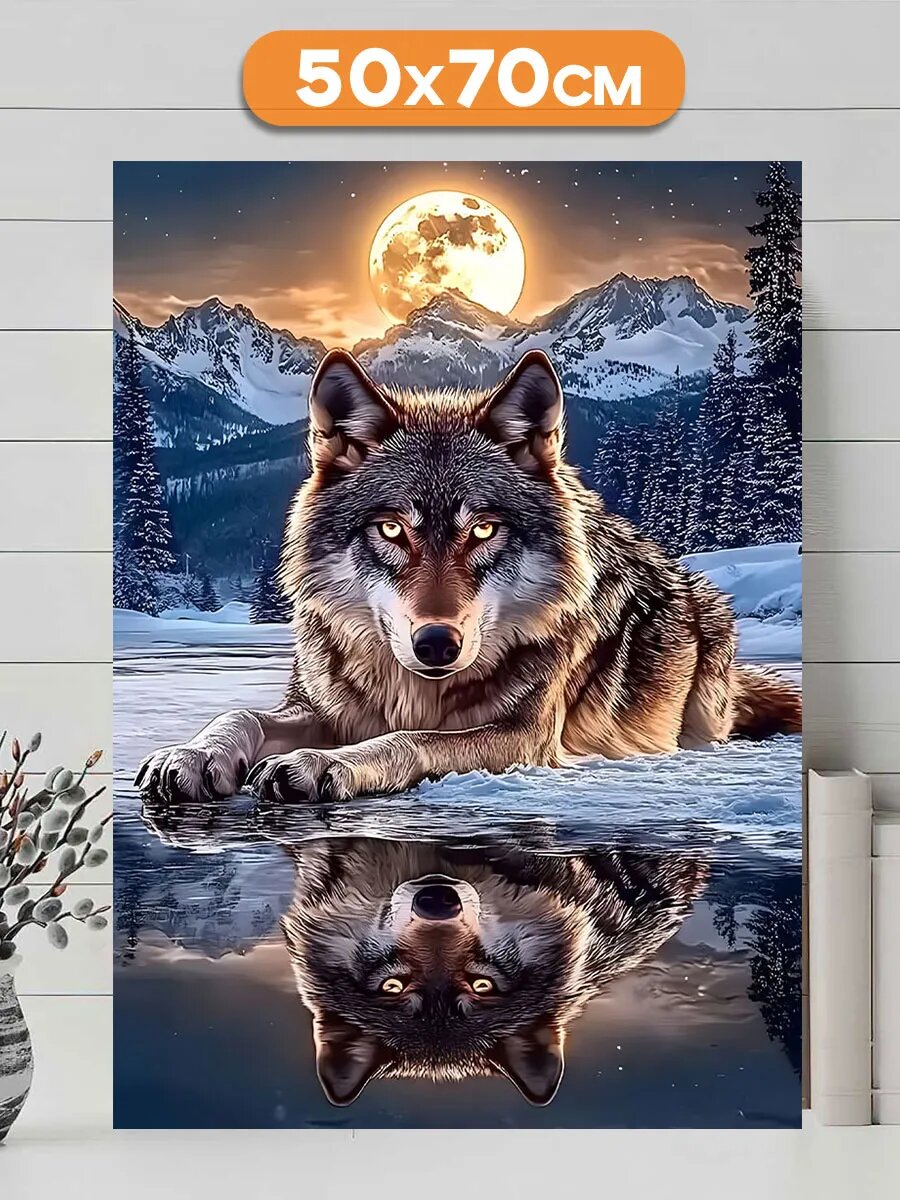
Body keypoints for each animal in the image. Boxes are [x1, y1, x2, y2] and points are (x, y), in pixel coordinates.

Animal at [136, 347, 801, 804]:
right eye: (392, 530)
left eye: (482, 531)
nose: (436, 643)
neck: (412, 689)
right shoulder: (324, 709)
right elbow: (240, 716)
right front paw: (190, 756)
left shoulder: (524, 737)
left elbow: (413, 740)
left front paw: (329, 765)